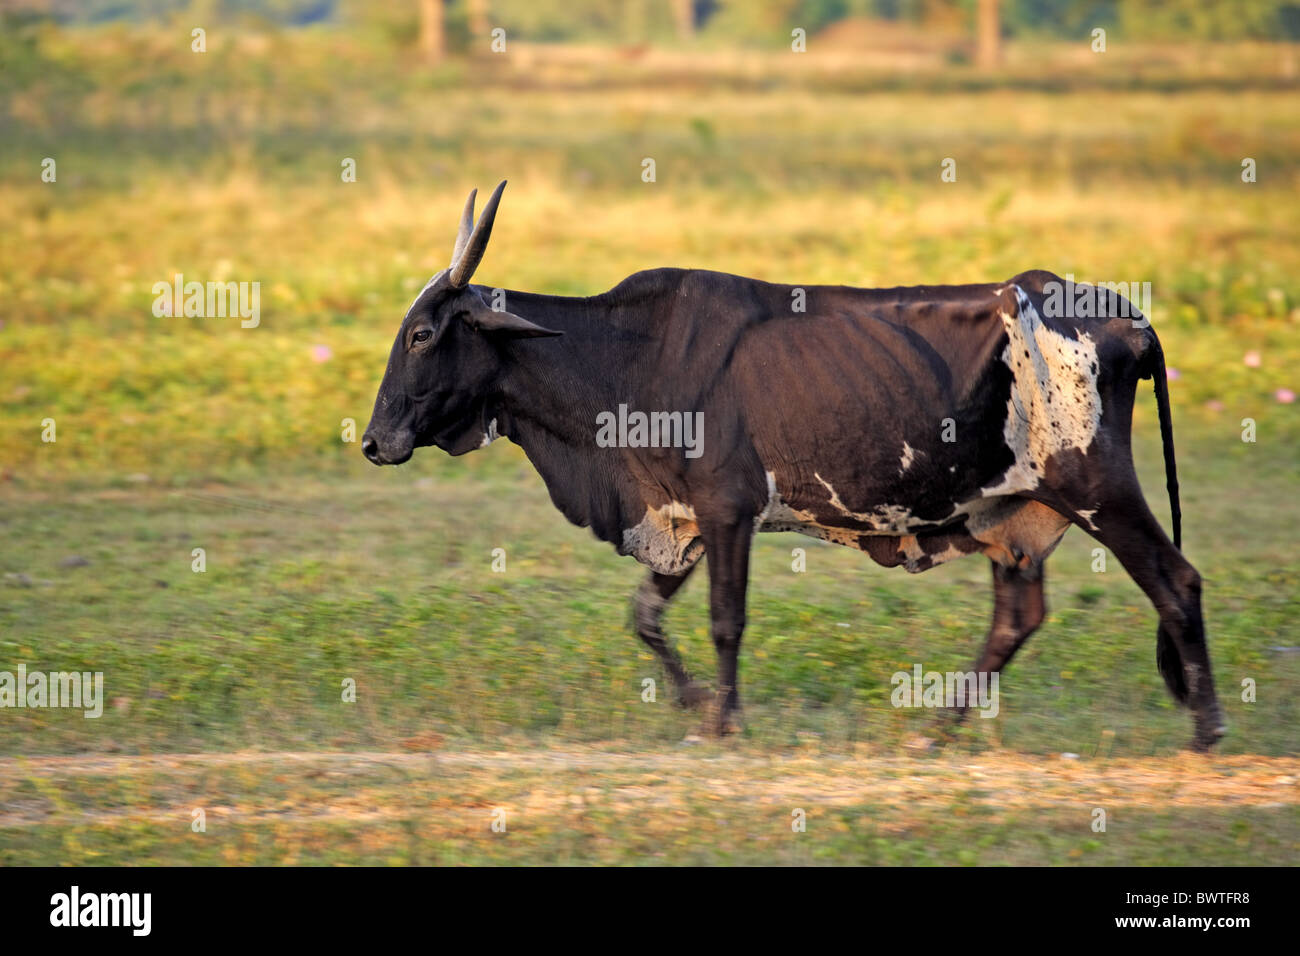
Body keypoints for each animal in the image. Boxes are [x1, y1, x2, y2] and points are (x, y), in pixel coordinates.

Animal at [362, 181, 1226, 751]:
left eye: (422, 334)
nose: (372, 442)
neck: (625, 356)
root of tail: (1128, 317)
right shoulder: (681, 519)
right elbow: (644, 617)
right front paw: (693, 705)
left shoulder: (726, 509)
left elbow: (725, 620)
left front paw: (723, 718)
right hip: (1013, 514)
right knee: (1019, 617)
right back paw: (939, 728)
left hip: (1097, 488)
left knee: (1175, 581)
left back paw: (1206, 729)